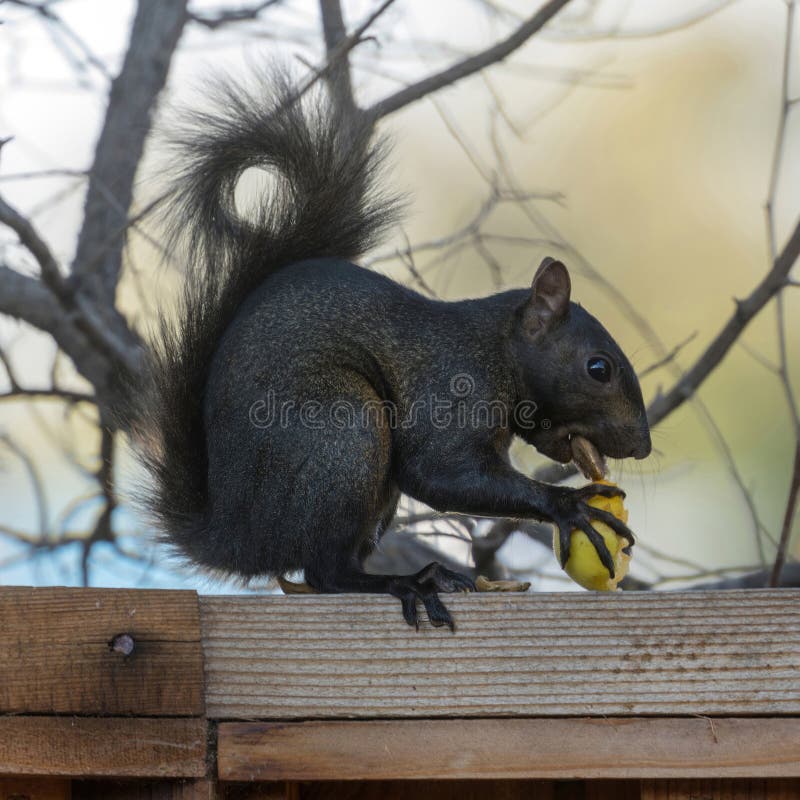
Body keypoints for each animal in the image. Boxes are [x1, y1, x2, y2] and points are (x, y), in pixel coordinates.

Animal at [132, 70, 651, 630]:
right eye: (598, 367)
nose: (642, 446)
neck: (496, 351)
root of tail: (231, 537)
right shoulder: (449, 390)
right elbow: (437, 470)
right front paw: (568, 505)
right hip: (341, 432)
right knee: (327, 573)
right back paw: (409, 582)